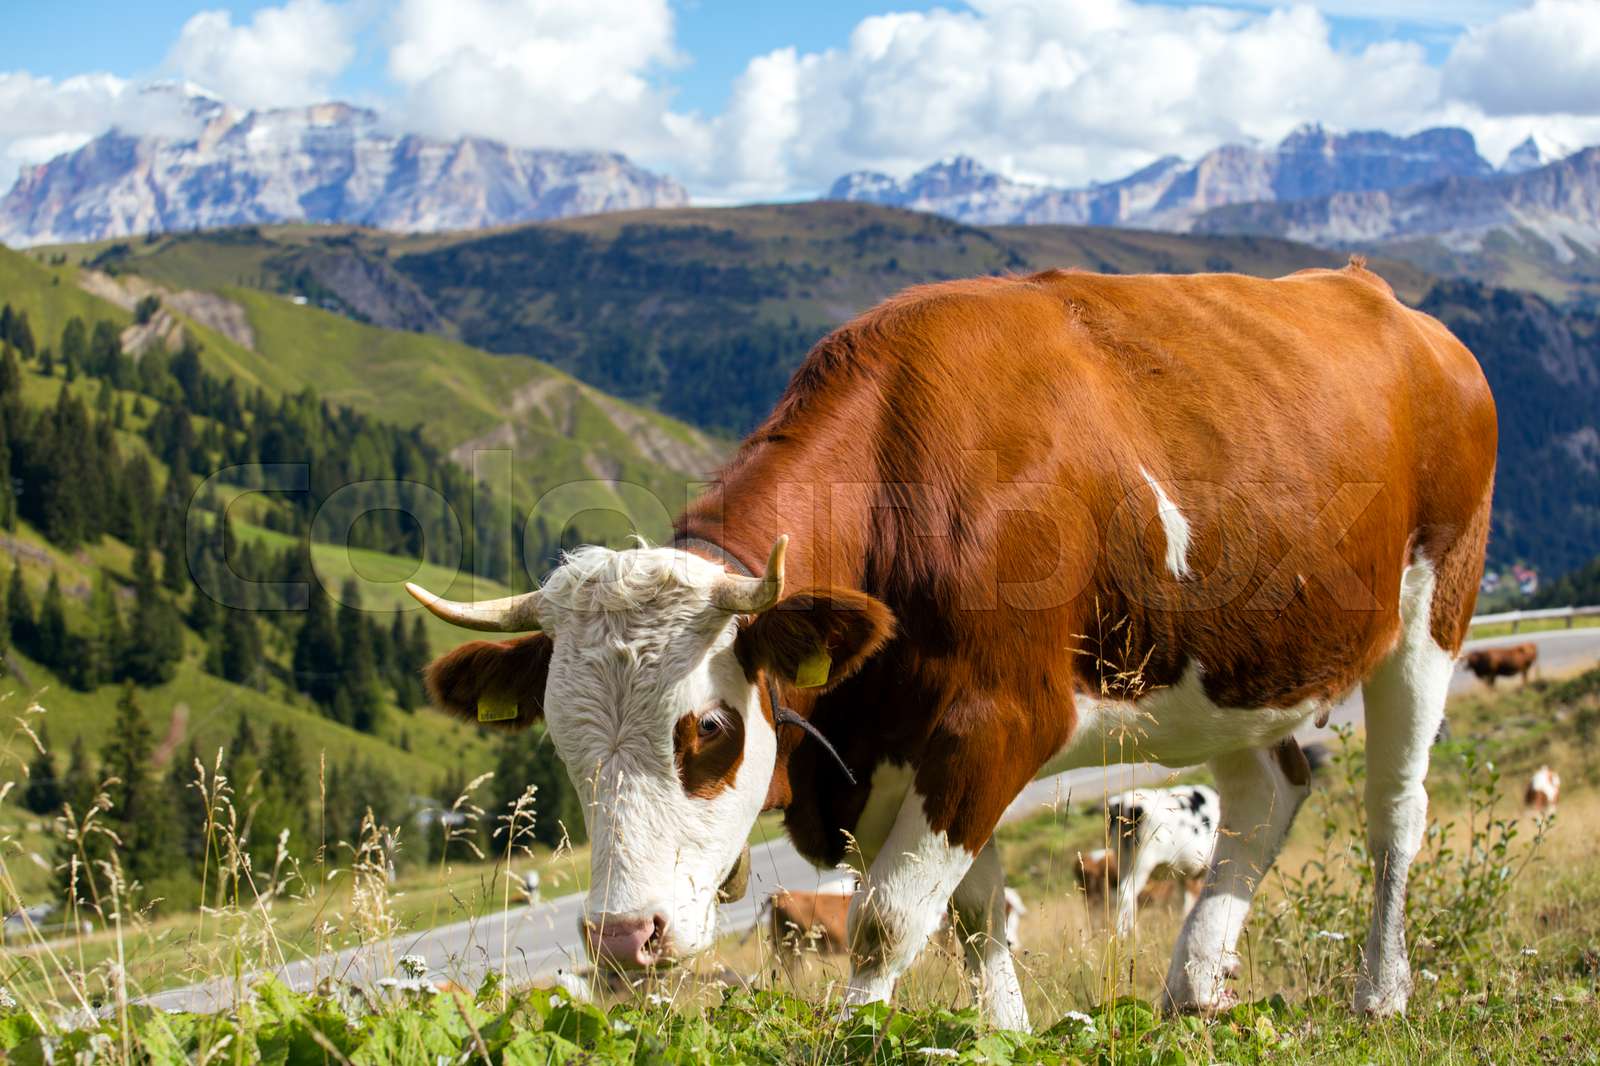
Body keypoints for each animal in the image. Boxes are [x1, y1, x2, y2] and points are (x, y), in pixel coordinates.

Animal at [412, 262, 1496, 1028]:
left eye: (709, 728)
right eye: (560, 744)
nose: (619, 937)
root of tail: (1379, 295)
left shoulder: (996, 723)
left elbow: (888, 920)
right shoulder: (911, 750)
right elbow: (973, 918)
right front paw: (1003, 1033)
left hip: (1432, 609)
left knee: (1392, 813)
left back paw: (1380, 992)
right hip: (1228, 668)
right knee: (1268, 793)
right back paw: (1195, 982)